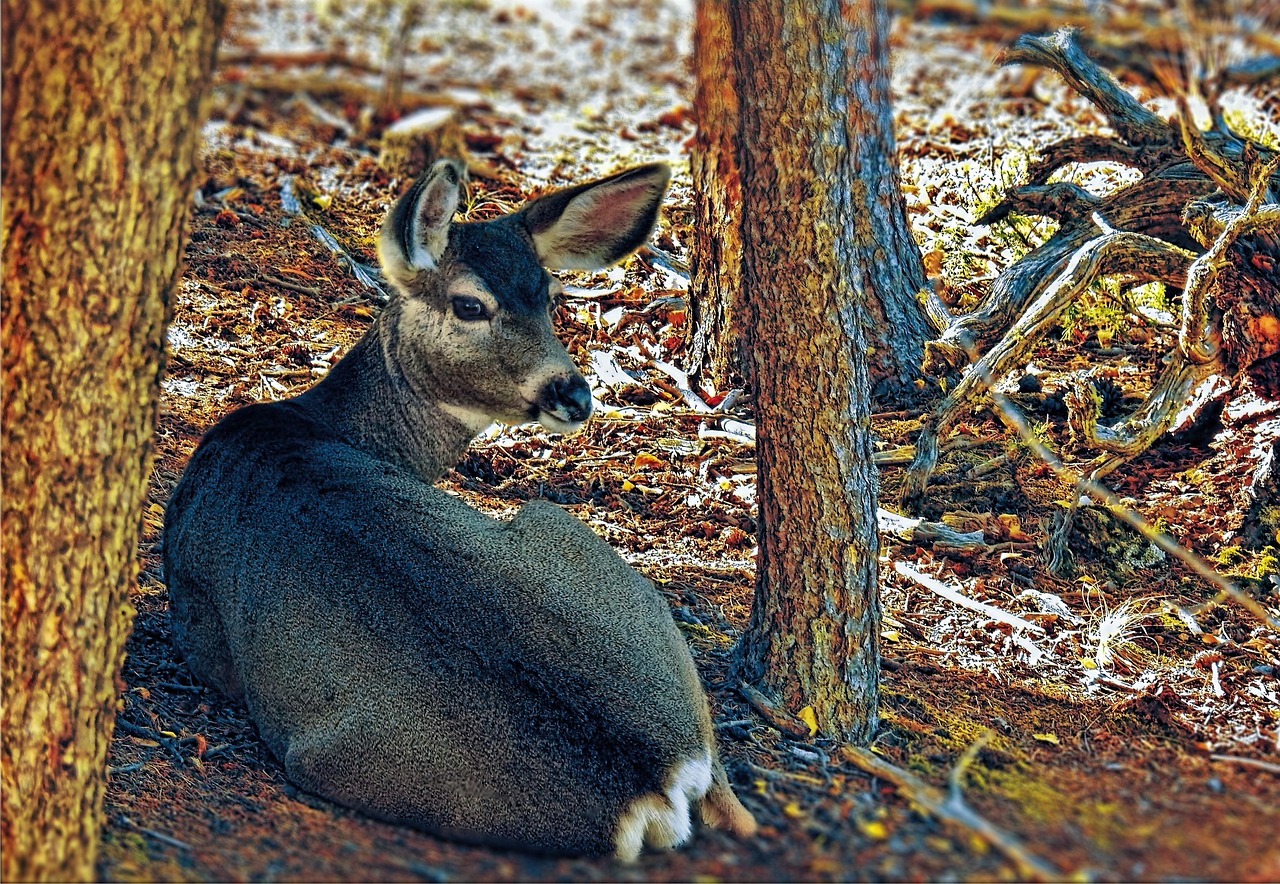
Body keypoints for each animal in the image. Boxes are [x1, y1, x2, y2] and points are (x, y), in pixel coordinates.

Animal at [163, 159, 758, 860]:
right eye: (470, 304)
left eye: (547, 295)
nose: (574, 392)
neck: (308, 423)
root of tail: (654, 782)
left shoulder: (197, 625)